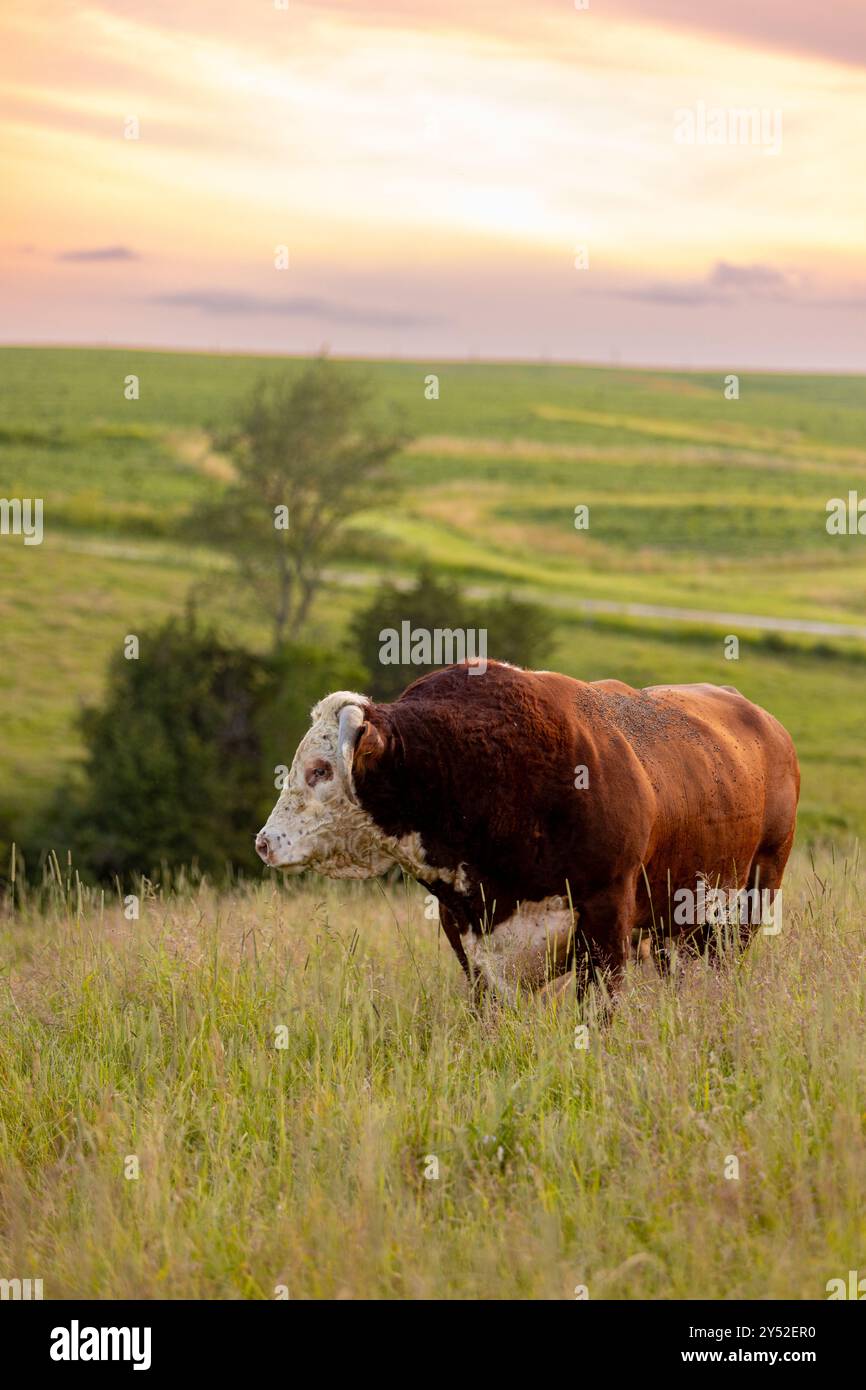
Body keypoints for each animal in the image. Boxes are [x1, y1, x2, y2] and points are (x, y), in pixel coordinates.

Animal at [255, 661, 800, 1004]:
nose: (265, 842)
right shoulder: (466, 930)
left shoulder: (606, 915)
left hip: (755, 890)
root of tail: (763, 719)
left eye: (321, 769)